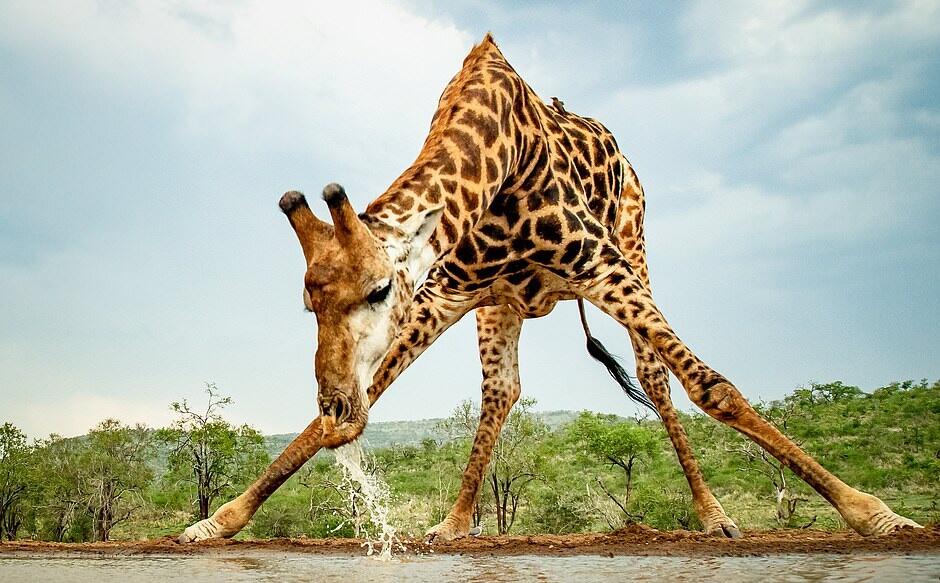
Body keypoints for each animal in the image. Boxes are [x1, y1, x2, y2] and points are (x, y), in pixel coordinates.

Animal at [179, 34, 920, 543]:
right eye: (308, 301)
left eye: (380, 290)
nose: (338, 404)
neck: (497, 153)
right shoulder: (450, 288)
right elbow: (367, 394)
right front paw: (218, 521)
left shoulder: (595, 262)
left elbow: (715, 386)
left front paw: (875, 514)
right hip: (501, 304)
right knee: (501, 391)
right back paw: (455, 522)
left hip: (634, 249)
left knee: (657, 381)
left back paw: (712, 516)